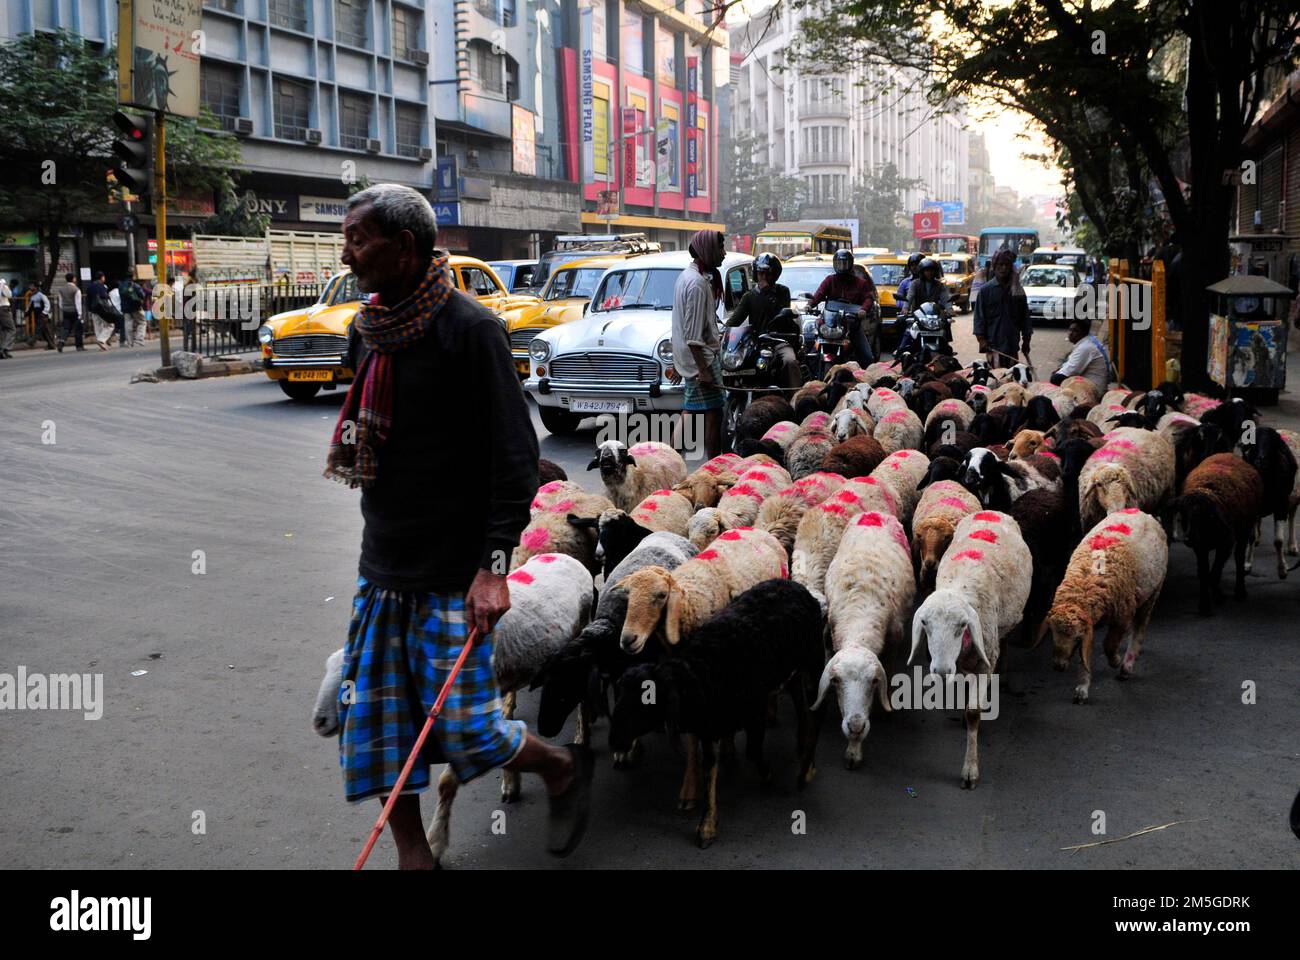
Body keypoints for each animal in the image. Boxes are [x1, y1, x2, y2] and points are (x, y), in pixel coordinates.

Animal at [609, 580, 824, 847]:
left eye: (646, 701)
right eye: (619, 694)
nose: (615, 741)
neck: (701, 670)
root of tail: (793, 585)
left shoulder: (755, 708)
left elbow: (752, 750)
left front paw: (767, 775)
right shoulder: (709, 725)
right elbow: (709, 768)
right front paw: (707, 825)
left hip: (814, 660)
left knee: (817, 713)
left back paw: (807, 770)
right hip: (790, 670)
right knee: (800, 701)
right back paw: (802, 744)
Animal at [909, 510, 1032, 788]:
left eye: (962, 625)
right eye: (925, 623)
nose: (942, 670)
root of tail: (992, 511)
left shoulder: (986, 660)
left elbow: (973, 712)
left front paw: (970, 771)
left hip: (1005, 623)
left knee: (1005, 640)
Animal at [1040, 509, 1168, 703]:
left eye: (1076, 637)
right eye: (1053, 632)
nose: (1058, 666)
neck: (1085, 583)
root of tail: (1143, 513)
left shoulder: (1122, 616)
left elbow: (1109, 644)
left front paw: (1115, 661)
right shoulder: (1089, 623)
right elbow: (1085, 656)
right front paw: (1082, 688)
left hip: (1153, 591)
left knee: (1140, 627)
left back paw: (1126, 666)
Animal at [1177, 454, 1264, 616]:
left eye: (1203, 517)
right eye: (1184, 515)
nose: (1188, 539)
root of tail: (1228, 454)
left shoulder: (1225, 545)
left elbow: (1214, 573)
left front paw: (1216, 597)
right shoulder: (1200, 548)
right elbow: (1206, 574)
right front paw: (1205, 605)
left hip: (1244, 529)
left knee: (1239, 556)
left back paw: (1240, 591)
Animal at [1240, 426, 1298, 579]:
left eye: (1272, 444)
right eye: (1254, 443)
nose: (1261, 459)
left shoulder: (1282, 505)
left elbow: (1278, 541)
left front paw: (1282, 570)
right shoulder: (1254, 507)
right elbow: (1251, 537)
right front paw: (1247, 564)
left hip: (1293, 496)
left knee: (1292, 515)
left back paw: (1293, 546)